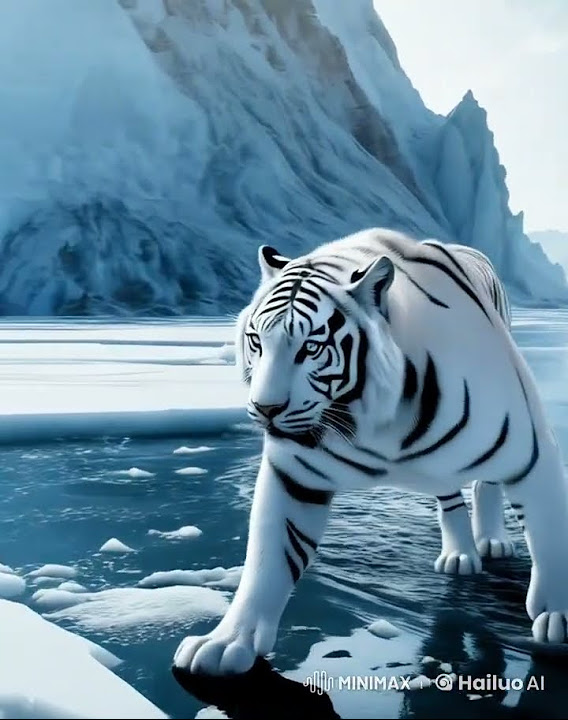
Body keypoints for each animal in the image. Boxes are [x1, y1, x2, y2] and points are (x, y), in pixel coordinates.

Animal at [174, 227, 568, 676]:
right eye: (256, 341)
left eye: (310, 348)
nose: (266, 409)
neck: (375, 419)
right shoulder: (294, 475)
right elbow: (268, 559)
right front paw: (226, 643)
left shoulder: (534, 452)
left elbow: (550, 540)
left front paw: (558, 617)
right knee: (449, 496)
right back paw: (459, 555)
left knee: (486, 485)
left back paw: (492, 542)